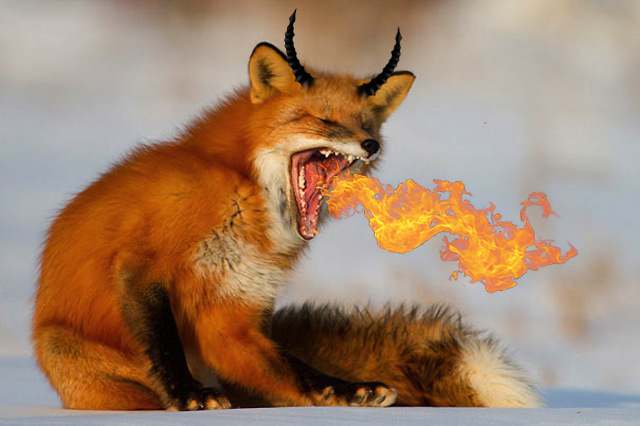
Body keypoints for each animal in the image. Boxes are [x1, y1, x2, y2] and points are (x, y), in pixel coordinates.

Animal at [32, 11, 541, 410]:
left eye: (367, 125)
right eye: (324, 119)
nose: (371, 146)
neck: (242, 192)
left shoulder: (232, 313)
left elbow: (296, 369)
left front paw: (346, 392)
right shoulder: (142, 262)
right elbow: (164, 342)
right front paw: (187, 395)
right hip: (72, 351)